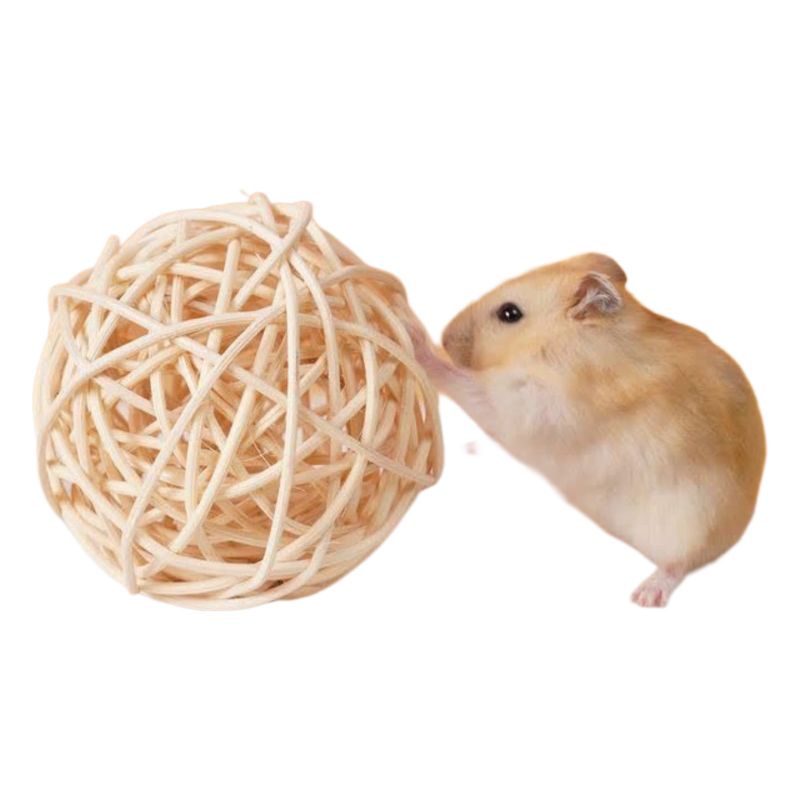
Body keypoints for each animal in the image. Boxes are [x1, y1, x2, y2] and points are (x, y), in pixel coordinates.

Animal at [405, 253, 765, 607]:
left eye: (509, 313)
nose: (446, 336)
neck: (558, 343)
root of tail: (736, 530)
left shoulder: (525, 407)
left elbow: (464, 383)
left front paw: (414, 335)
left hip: (688, 523)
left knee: (680, 564)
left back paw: (645, 596)